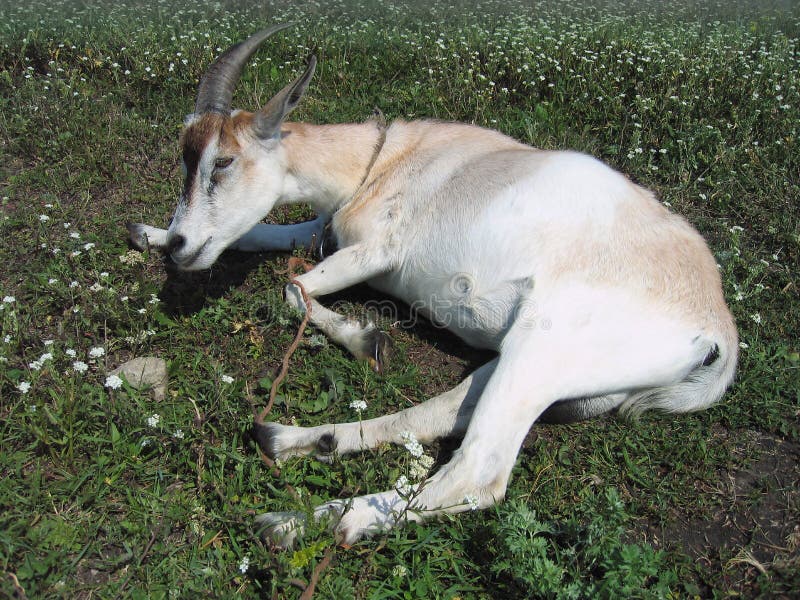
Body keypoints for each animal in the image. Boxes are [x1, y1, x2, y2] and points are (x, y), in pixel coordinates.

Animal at [128, 25, 738, 547]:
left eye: (223, 161)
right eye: (185, 159)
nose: (183, 243)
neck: (381, 161)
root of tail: (718, 332)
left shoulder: (375, 252)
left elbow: (294, 288)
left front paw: (366, 338)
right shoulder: (325, 228)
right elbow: (261, 234)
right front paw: (147, 233)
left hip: (544, 349)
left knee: (476, 474)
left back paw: (297, 521)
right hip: (538, 367)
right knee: (445, 411)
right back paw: (294, 439)